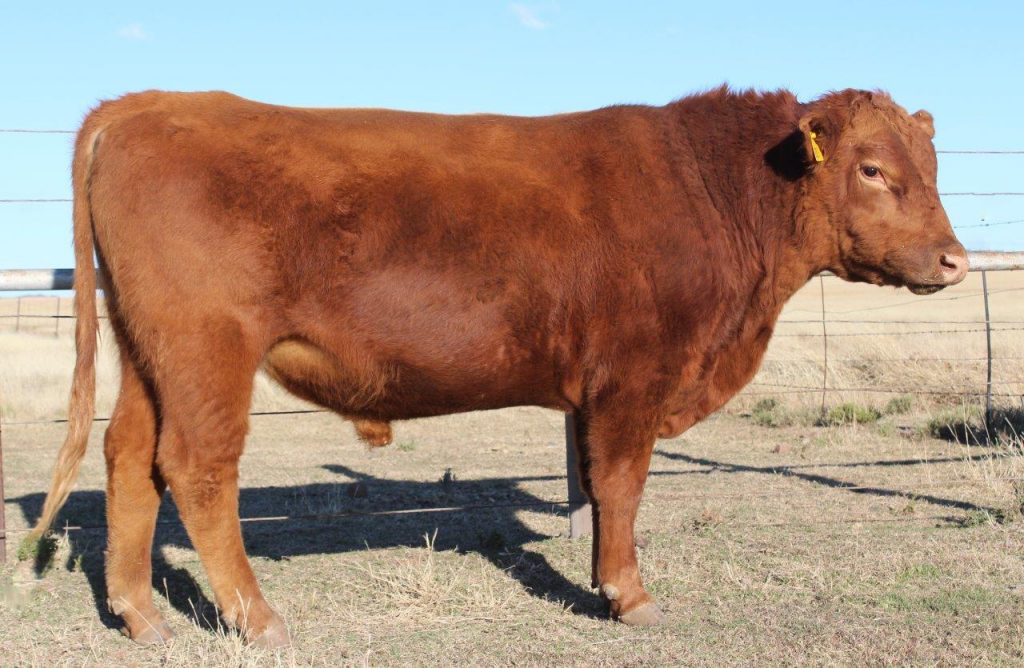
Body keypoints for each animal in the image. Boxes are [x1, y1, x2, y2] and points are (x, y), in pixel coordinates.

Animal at [27, 86, 967, 647]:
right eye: (872, 169)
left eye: (929, 167)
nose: (955, 261)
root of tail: (148, 103)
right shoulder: (632, 376)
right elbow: (619, 485)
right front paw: (626, 596)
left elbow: (600, 487)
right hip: (207, 346)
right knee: (197, 467)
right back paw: (259, 621)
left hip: (150, 352)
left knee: (130, 459)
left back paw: (142, 616)